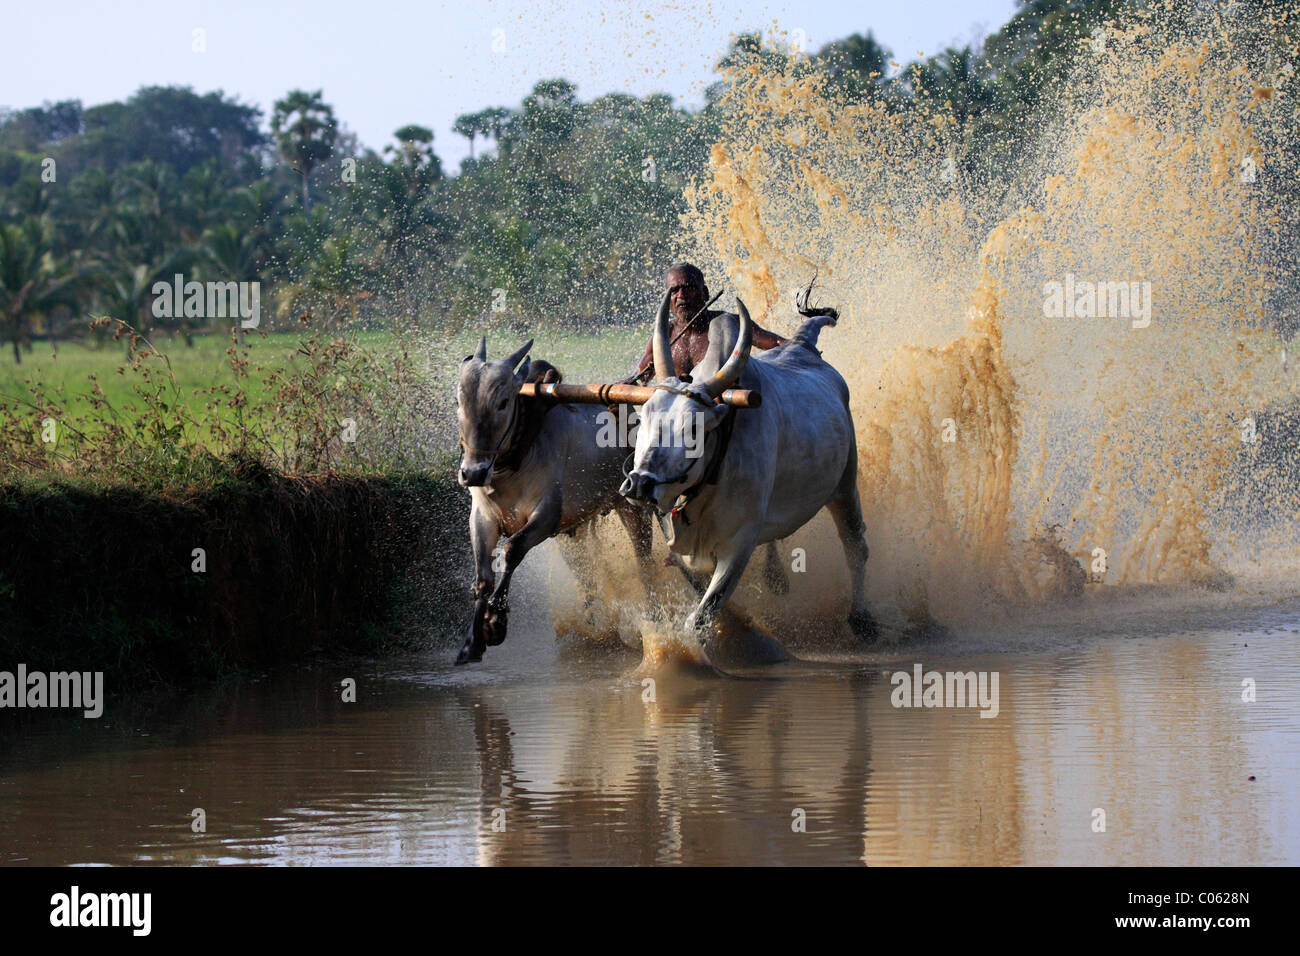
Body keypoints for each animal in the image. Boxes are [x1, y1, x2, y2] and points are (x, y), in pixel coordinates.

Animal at [455, 337, 655, 665]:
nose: (472, 472)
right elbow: (483, 576)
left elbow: (511, 551)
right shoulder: (482, 519)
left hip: (633, 509)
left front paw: (496, 622)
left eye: (503, 402)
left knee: (644, 563)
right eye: (458, 402)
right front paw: (472, 642)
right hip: (576, 529)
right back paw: (595, 614)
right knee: (585, 570)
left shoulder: (546, 516)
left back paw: (650, 616)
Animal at [619, 290, 878, 647]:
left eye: (694, 428)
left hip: (845, 485)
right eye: (642, 418)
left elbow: (701, 616)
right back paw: (777, 577)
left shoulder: (739, 543)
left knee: (856, 546)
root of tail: (803, 345)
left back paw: (862, 619)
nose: (638, 485)